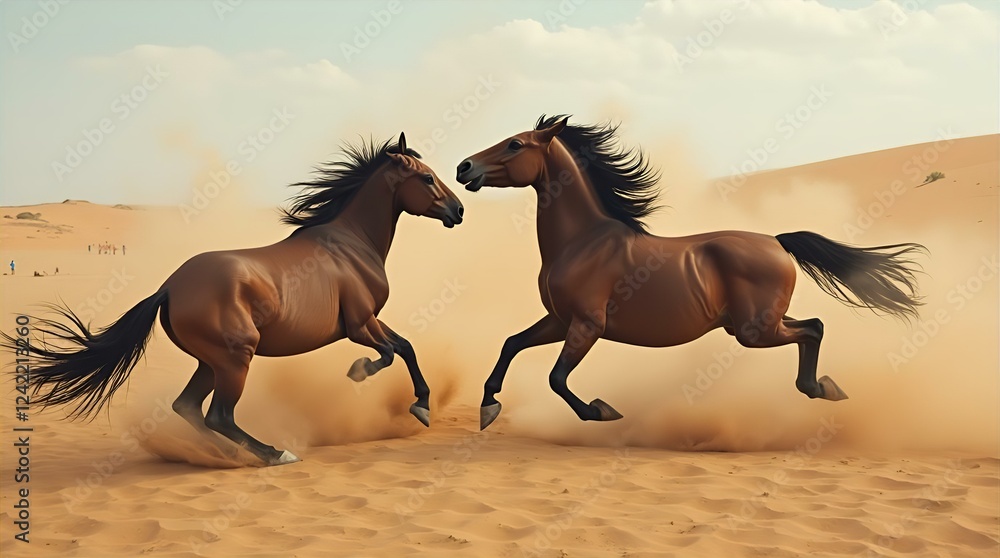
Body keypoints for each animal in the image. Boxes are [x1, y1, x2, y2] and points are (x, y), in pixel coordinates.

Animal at [5, 133, 465, 466]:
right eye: (427, 178)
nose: (458, 210)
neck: (350, 242)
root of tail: (169, 286)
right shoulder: (358, 325)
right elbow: (386, 355)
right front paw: (359, 372)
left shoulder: (371, 319)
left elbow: (406, 347)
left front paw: (422, 406)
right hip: (235, 358)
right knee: (217, 415)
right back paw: (274, 453)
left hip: (211, 362)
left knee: (189, 408)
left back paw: (223, 454)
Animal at [456, 115, 925, 431]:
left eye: (515, 145)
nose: (464, 168)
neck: (582, 242)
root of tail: (776, 240)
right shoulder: (558, 320)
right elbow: (511, 344)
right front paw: (488, 406)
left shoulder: (586, 325)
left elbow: (556, 378)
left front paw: (601, 410)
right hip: (753, 322)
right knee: (813, 325)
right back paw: (823, 387)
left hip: (754, 330)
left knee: (813, 328)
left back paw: (821, 388)